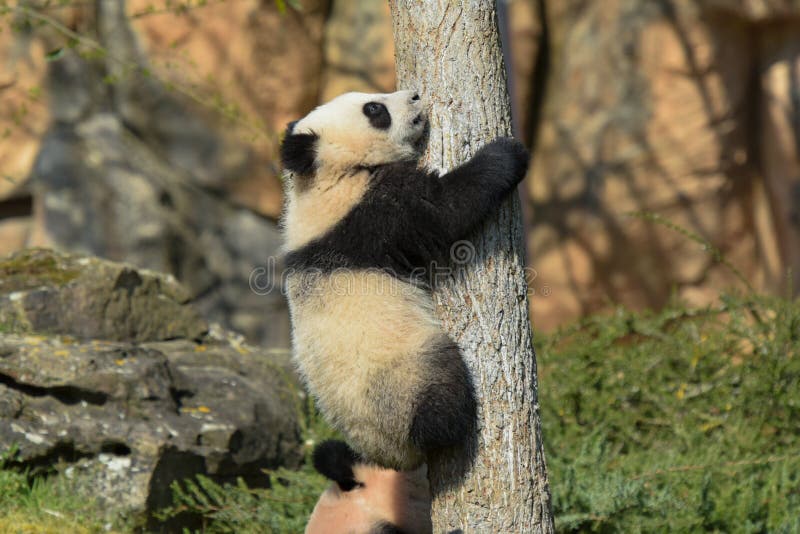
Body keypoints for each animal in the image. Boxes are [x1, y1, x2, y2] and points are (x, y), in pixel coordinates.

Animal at [280, 90, 528, 470]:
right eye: (374, 109)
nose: (414, 95)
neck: (326, 177)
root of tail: (387, 455)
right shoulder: (370, 214)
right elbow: (444, 209)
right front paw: (506, 153)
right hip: (404, 375)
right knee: (439, 395)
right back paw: (451, 424)